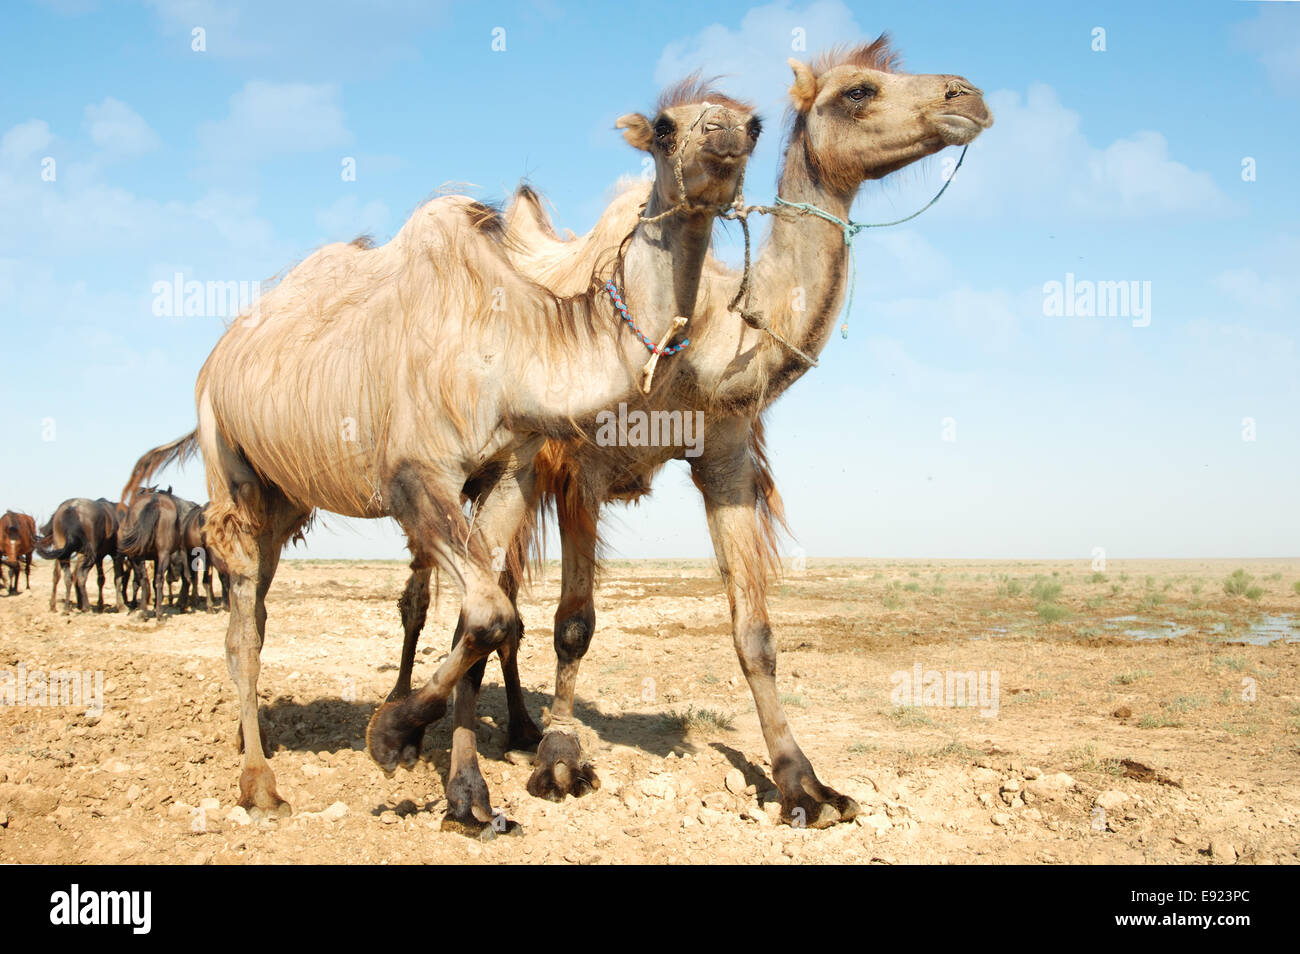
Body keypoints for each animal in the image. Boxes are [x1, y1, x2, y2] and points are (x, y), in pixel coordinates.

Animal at [123, 82, 761, 826]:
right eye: (664, 127)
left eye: (757, 124)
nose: (726, 135)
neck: (511, 347)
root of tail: (220, 354)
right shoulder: (413, 476)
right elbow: (487, 613)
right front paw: (391, 735)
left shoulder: (507, 474)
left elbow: (483, 619)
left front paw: (466, 791)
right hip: (228, 458)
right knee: (243, 623)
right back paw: (259, 784)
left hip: (286, 496)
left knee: (252, 608)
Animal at [395, 36, 993, 827]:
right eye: (859, 91)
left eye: (759, 124)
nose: (968, 96)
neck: (702, 334)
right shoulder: (579, 465)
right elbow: (572, 624)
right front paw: (552, 763)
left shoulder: (726, 458)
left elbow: (755, 634)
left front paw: (804, 785)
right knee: (430, 600)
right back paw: (422, 726)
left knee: (501, 601)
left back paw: (514, 727)